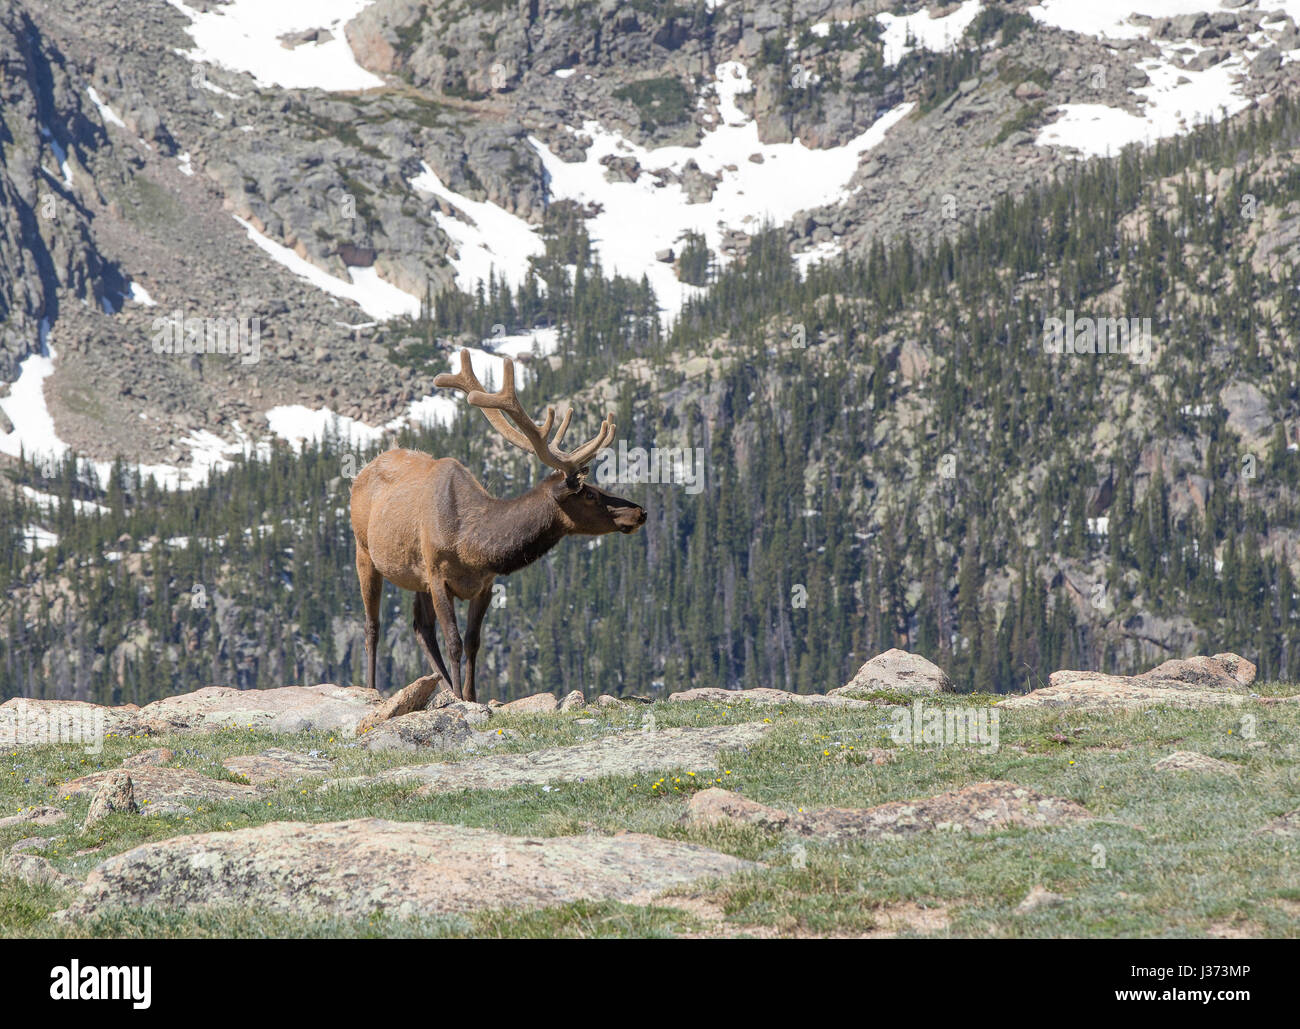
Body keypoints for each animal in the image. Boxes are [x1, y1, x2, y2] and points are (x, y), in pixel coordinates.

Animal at [349, 350, 646, 703]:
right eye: (589, 494)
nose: (639, 511)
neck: (471, 545)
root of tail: (364, 469)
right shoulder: (437, 575)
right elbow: (454, 641)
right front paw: (459, 697)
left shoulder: (484, 585)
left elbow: (474, 642)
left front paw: (470, 695)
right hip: (365, 551)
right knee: (372, 625)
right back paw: (372, 687)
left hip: (414, 576)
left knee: (421, 628)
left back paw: (441, 684)